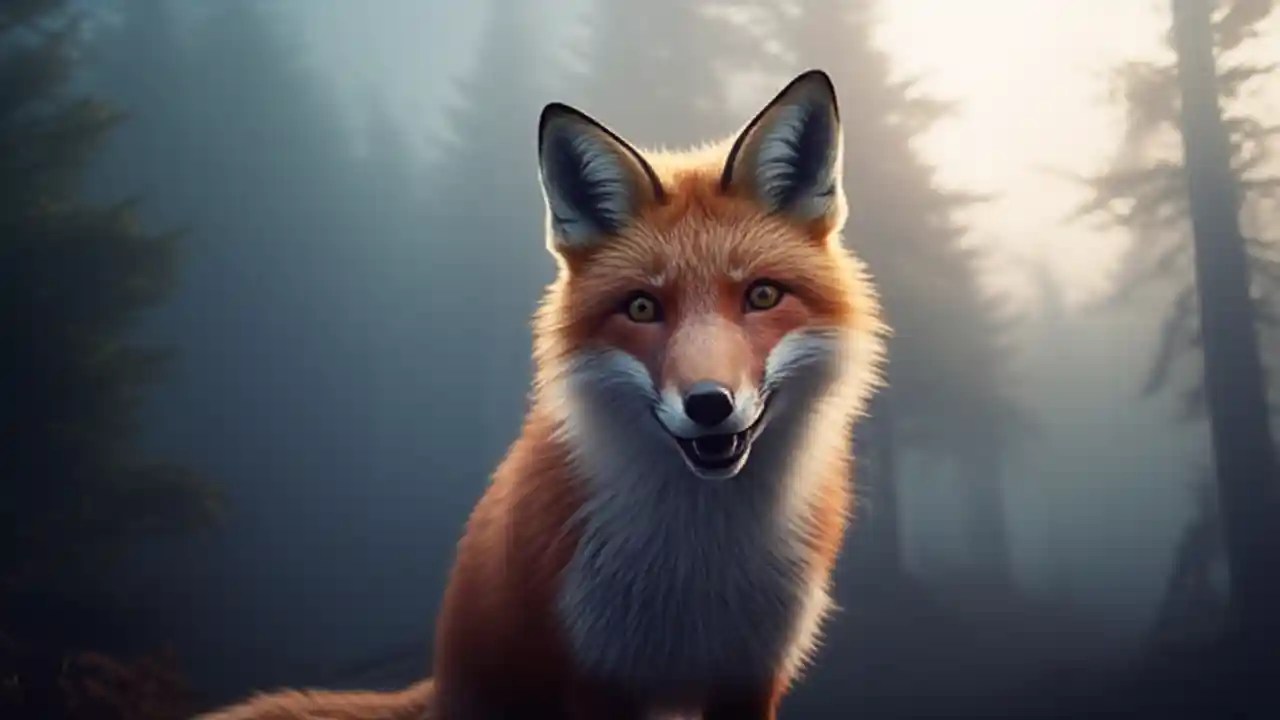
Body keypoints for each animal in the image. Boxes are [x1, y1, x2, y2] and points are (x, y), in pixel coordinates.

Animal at [196, 69, 886, 720]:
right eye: (642, 307)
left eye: (762, 296)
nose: (709, 404)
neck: (698, 566)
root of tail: (440, 677)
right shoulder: (595, 680)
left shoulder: (750, 678)